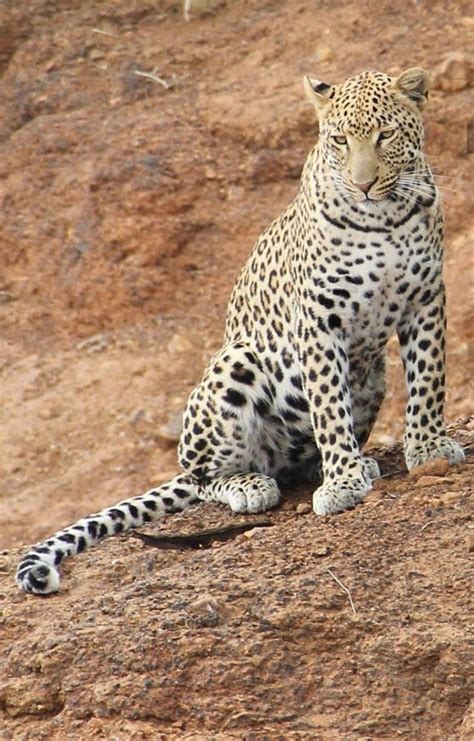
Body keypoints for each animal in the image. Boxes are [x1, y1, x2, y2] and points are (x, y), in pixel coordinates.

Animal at [16, 67, 465, 595]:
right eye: (339, 140)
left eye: (385, 135)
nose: (365, 185)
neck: (384, 219)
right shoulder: (319, 320)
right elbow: (329, 409)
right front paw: (342, 483)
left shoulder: (426, 300)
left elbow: (428, 379)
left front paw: (427, 447)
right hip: (235, 366)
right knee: (206, 477)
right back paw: (254, 485)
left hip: (372, 373)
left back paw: (345, 462)